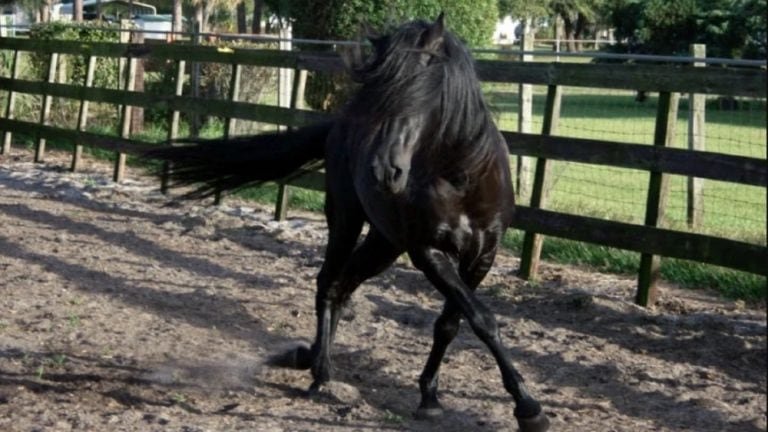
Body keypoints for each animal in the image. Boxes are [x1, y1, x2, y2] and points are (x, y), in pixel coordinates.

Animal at [147, 14, 549, 432]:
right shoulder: (427, 251)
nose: (383, 169)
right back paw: (320, 373)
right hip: (346, 220)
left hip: (384, 242)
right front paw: (528, 407)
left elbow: (454, 323)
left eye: (416, 83)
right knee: (328, 283)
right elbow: (480, 317)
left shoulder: (482, 255)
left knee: (343, 285)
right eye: (376, 85)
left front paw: (431, 396)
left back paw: (309, 357)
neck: (460, 177)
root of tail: (337, 125)